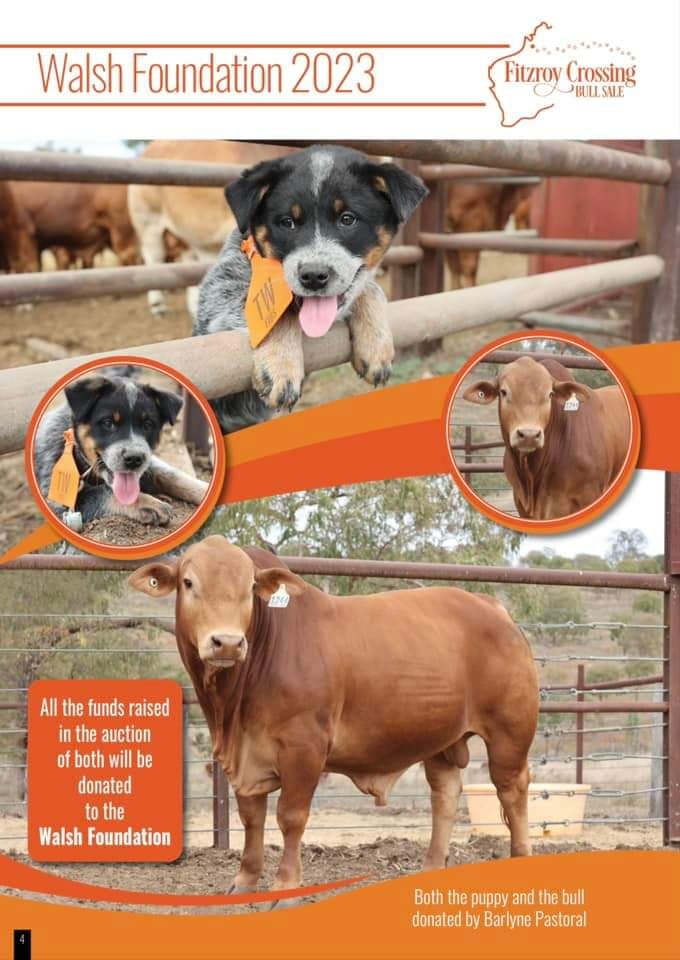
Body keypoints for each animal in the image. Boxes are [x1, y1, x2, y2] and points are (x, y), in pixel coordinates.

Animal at [129, 537, 539, 894]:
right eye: (188, 582)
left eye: (250, 587)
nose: (227, 643)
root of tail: (491, 605)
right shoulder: (246, 757)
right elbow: (251, 816)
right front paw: (244, 881)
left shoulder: (304, 746)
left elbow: (290, 816)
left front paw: (285, 885)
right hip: (441, 737)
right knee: (446, 794)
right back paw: (431, 866)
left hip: (509, 732)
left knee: (512, 790)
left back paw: (519, 857)